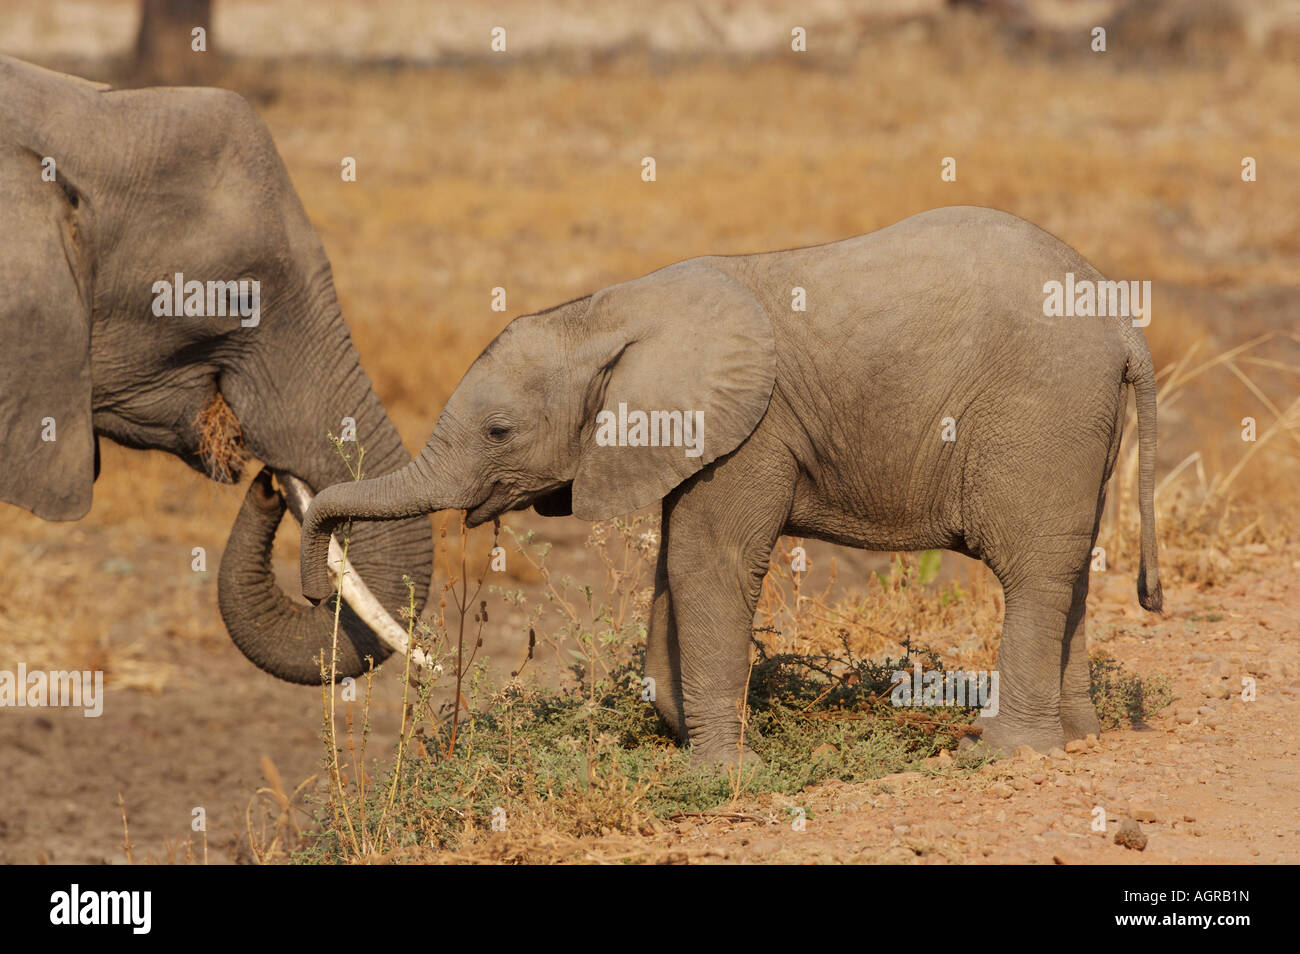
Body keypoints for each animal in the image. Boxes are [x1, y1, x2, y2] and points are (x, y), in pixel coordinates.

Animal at [299, 205, 1161, 764]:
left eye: (499, 433)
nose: (312, 591)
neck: (611, 310)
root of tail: (1122, 322)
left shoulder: (751, 431)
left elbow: (706, 566)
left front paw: (722, 772)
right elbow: (672, 571)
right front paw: (687, 731)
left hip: (1043, 407)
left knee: (1031, 568)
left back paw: (1002, 753)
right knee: (1070, 565)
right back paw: (1079, 737)